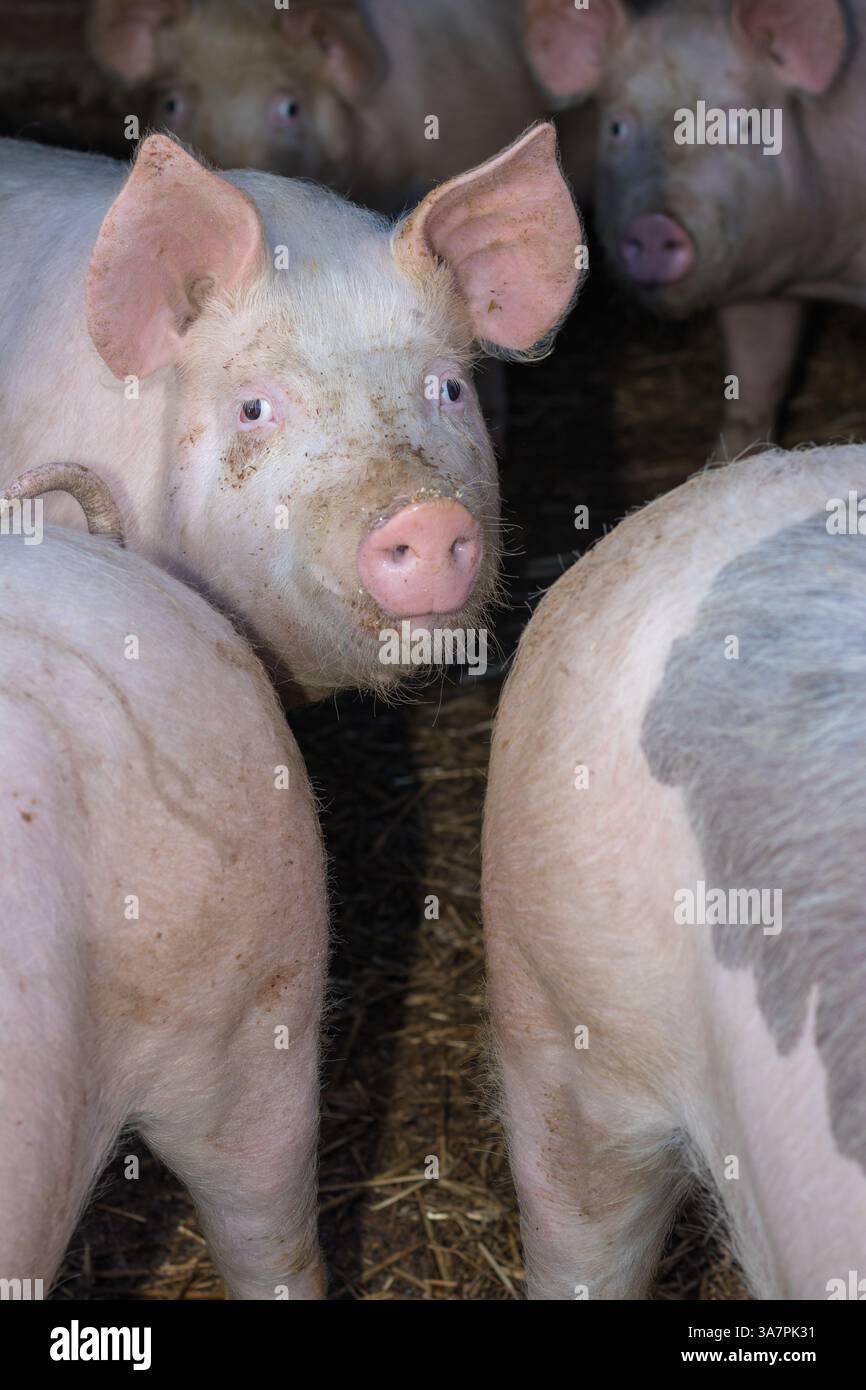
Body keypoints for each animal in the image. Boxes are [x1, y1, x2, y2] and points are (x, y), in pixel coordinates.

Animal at [522, 0, 866, 459]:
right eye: (616, 128)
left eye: (741, 126)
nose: (653, 225)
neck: (821, 272)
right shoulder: (756, 293)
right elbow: (756, 384)